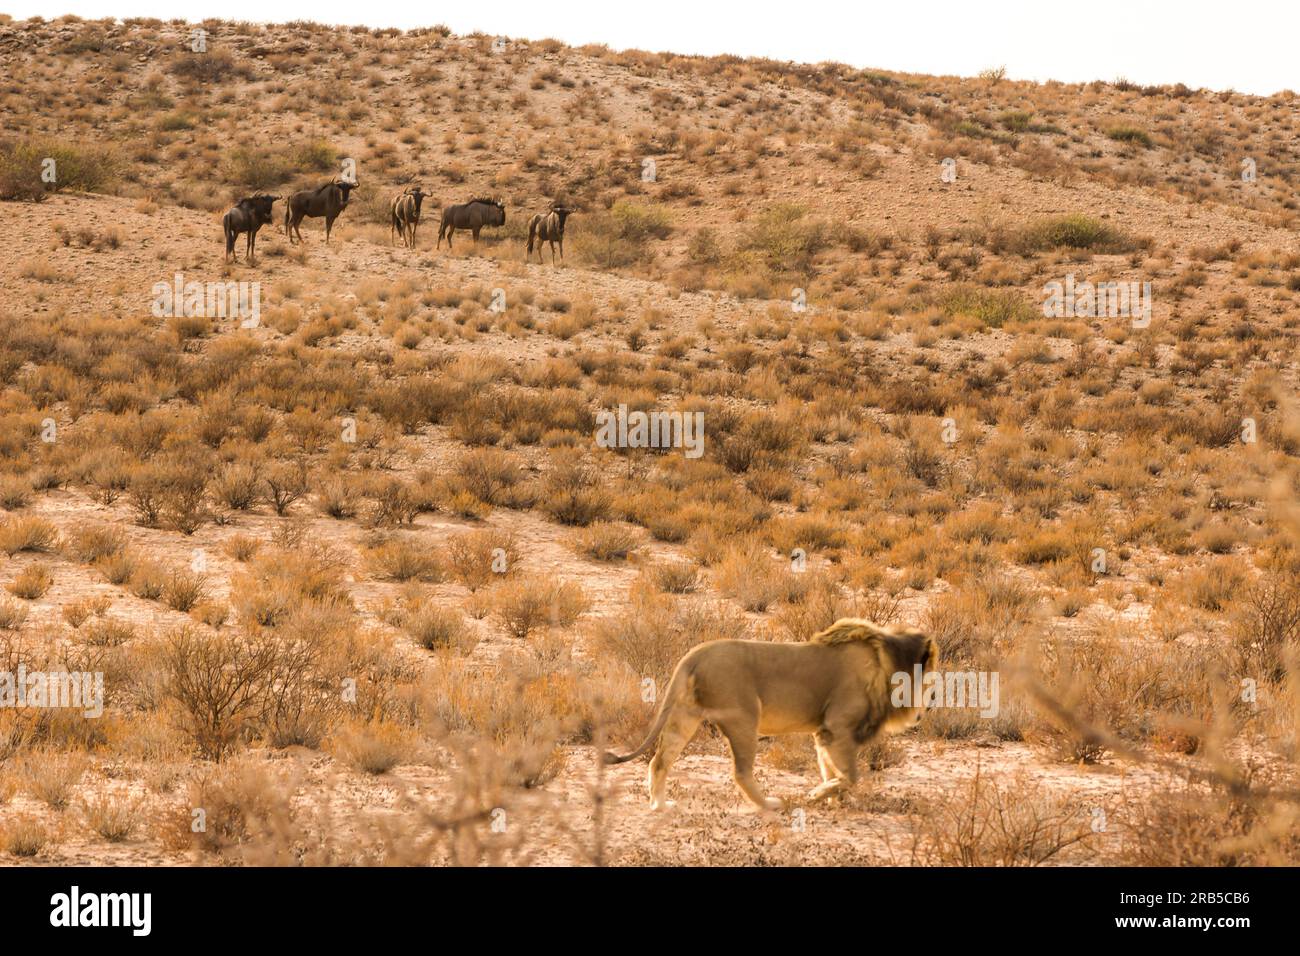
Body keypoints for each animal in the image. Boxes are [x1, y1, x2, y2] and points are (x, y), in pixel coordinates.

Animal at [602, 619, 939, 811]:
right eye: (929, 681)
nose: (927, 710)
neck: (886, 662)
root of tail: (695, 653)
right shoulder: (837, 728)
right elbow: (850, 776)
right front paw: (817, 795)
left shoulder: (824, 733)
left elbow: (832, 770)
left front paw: (833, 801)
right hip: (744, 718)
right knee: (740, 772)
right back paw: (769, 804)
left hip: (685, 717)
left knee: (660, 761)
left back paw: (660, 805)